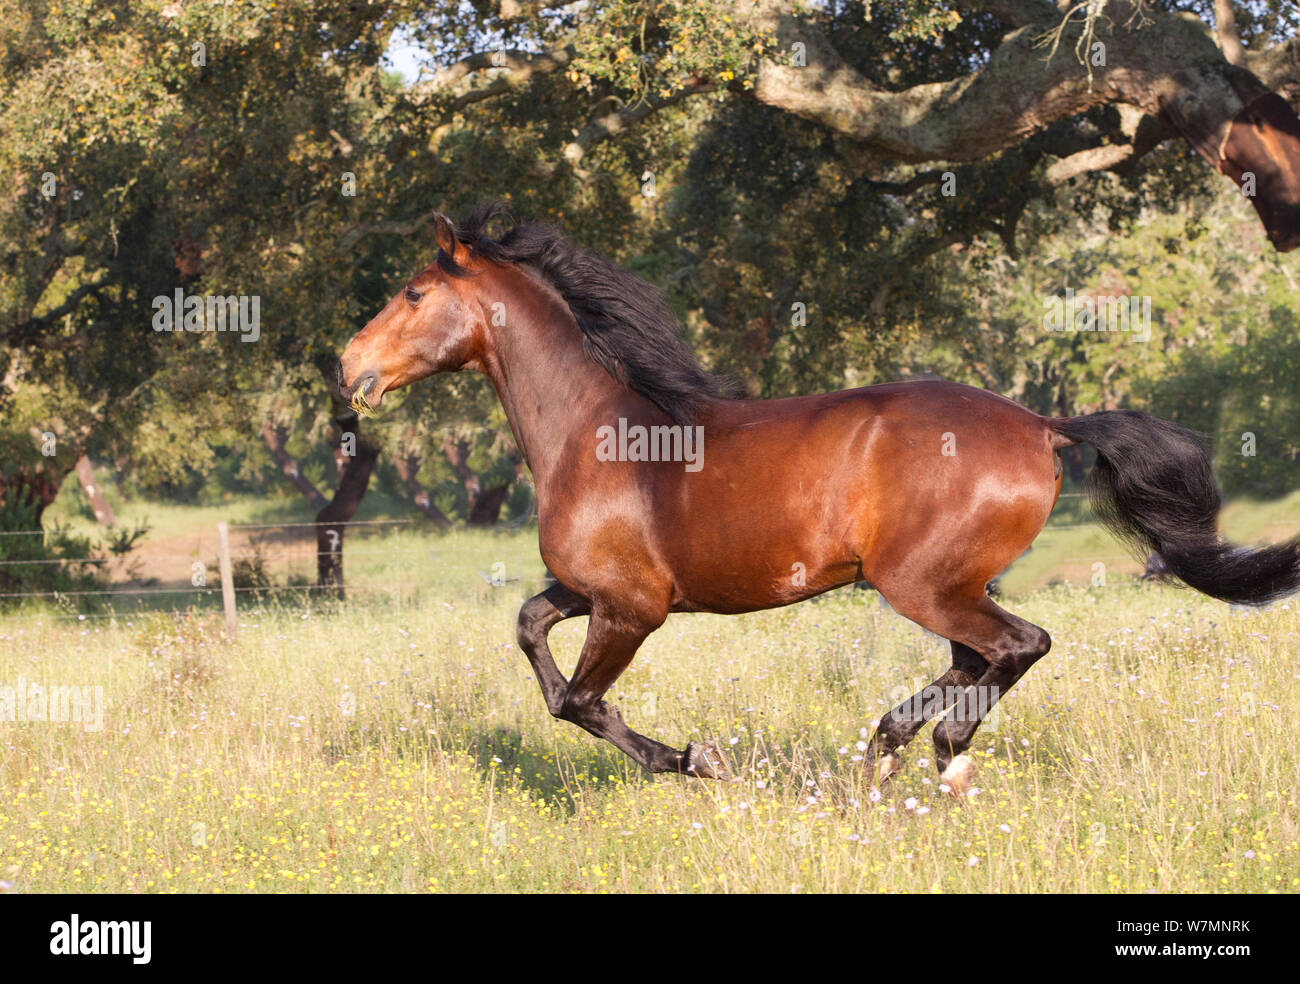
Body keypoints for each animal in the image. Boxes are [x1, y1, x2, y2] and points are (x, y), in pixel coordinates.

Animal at [337, 201, 1300, 794]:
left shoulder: (631, 607)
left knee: (1018, 646)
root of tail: (1039, 423)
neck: (599, 430)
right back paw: (893, 745)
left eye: (415, 292)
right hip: (951, 586)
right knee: (972, 662)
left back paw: (940, 753)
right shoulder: (591, 592)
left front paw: (699, 760)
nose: (350, 369)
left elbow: (576, 701)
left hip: (922, 585)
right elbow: (531, 632)